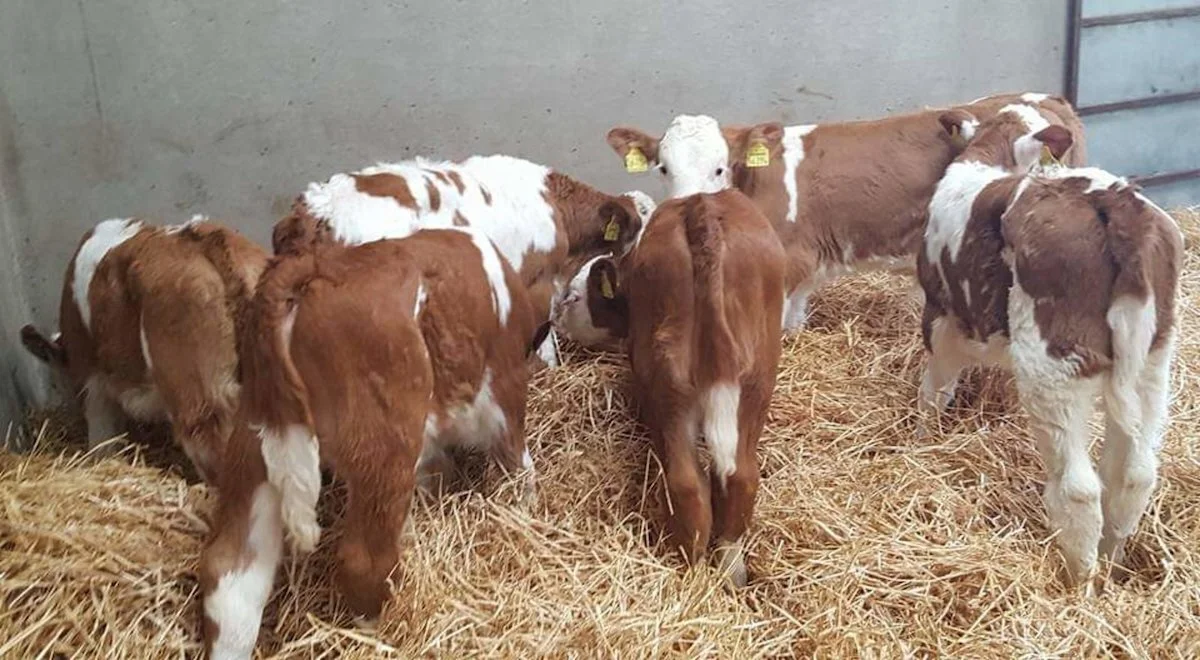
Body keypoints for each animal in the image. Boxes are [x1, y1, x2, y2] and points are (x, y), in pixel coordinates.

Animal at [199, 227, 545, 659]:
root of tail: (317, 265)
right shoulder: (505, 392)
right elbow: (518, 463)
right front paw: (525, 506)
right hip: (382, 447)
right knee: (363, 561)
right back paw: (381, 631)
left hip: (254, 441)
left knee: (231, 574)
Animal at [551, 189, 786, 587]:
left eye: (575, 298)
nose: (558, 322)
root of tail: (700, 209)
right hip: (755, 379)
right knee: (739, 476)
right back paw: (729, 573)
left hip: (669, 387)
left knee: (687, 484)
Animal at [919, 103, 1183, 586]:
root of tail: (1117, 204)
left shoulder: (941, 313)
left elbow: (934, 391)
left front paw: (921, 440)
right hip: (1154, 360)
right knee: (1133, 473)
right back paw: (1112, 563)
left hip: (1054, 369)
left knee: (1078, 489)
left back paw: (1079, 579)